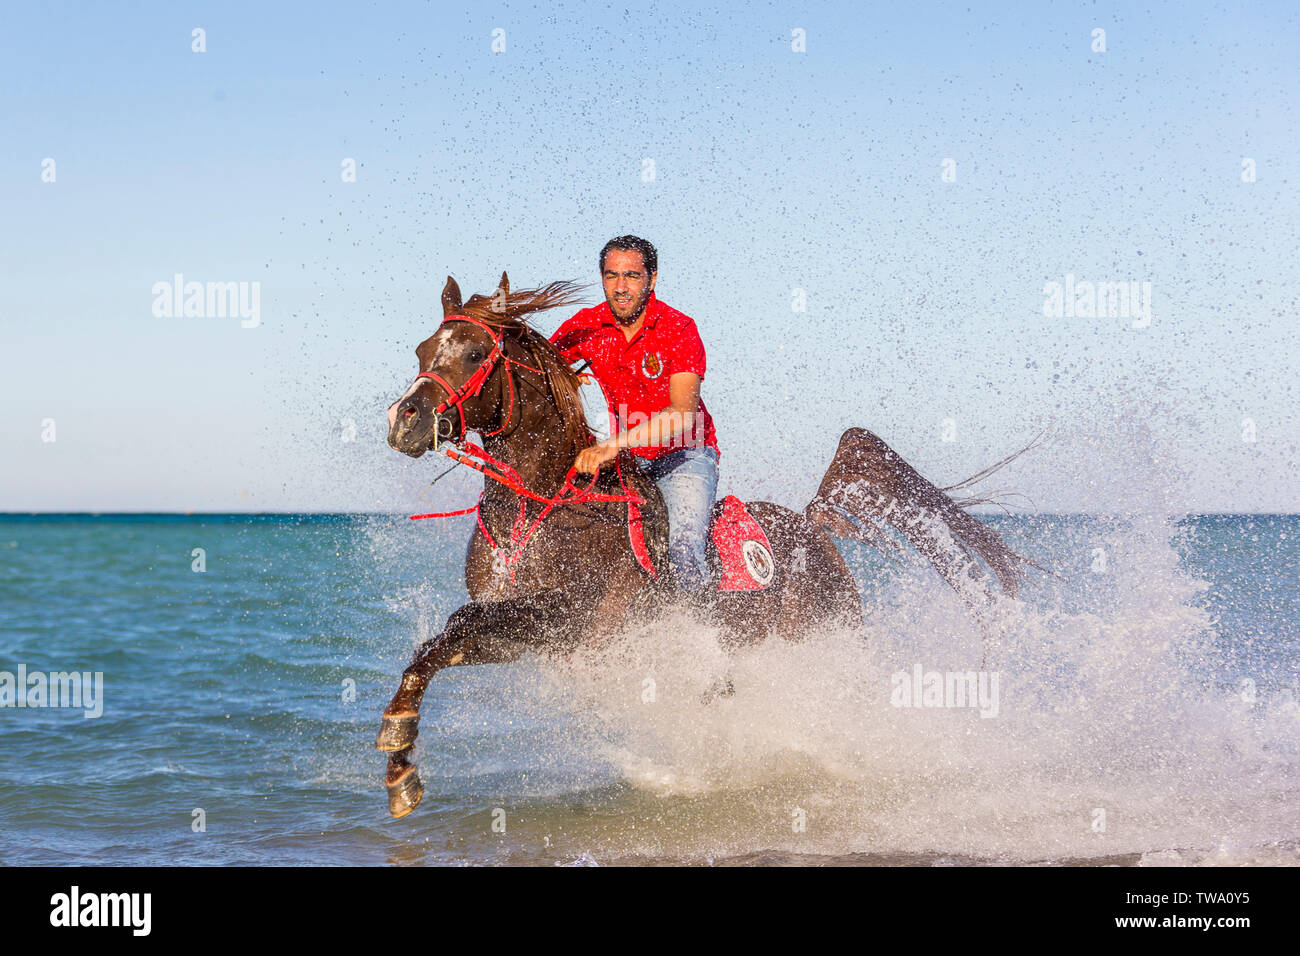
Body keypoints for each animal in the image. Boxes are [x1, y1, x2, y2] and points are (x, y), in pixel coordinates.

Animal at [376, 272, 1035, 818]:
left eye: (475, 353)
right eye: (423, 351)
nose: (404, 421)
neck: (545, 504)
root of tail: (813, 525)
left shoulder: (568, 618)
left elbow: (453, 631)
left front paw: (398, 744)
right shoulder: (533, 633)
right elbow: (443, 643)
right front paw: (400, 765)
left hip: (830, 640)